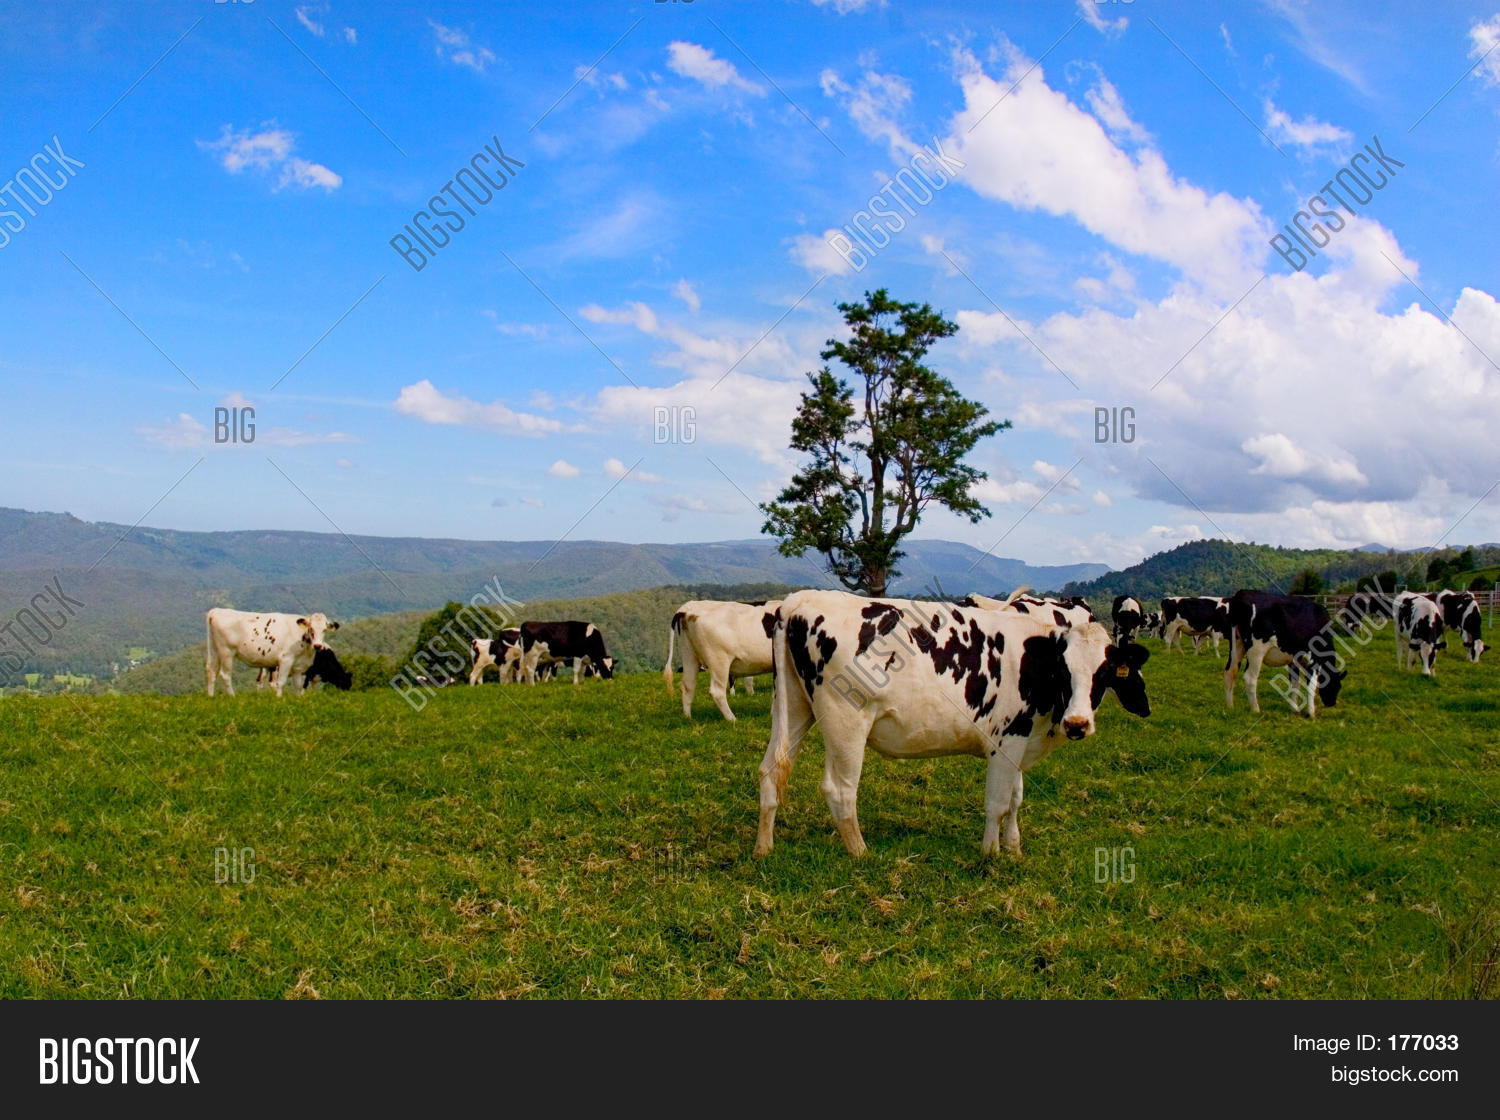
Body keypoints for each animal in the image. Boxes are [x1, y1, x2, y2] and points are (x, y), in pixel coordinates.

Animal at [205, 609, 340, 697]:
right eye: (310, 628)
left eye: (324, 629)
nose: (317, 645)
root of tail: (216, 611)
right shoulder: (285, 660)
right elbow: (281, 682)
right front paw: (279, 699)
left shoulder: (298, 667)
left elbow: (298, 685)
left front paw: (298, 700)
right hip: (226, 651)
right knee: (225, 675)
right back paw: (232, 697)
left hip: (214, 650)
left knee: (211, 671)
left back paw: (211, 696)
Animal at [753, 589, 1151, 859]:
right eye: (1064, 671)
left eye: (1104, 674)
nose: (1078, 724)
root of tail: (800, 600)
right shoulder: (1007, 739)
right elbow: (998, 803)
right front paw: (991, 854)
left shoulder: (1020, 743)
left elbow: (1017, 799)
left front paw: (1014, 848)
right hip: (846, 721)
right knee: (840, 789)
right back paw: (861, 851)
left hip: (794, 708)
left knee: (770, 770)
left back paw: (764, 847)